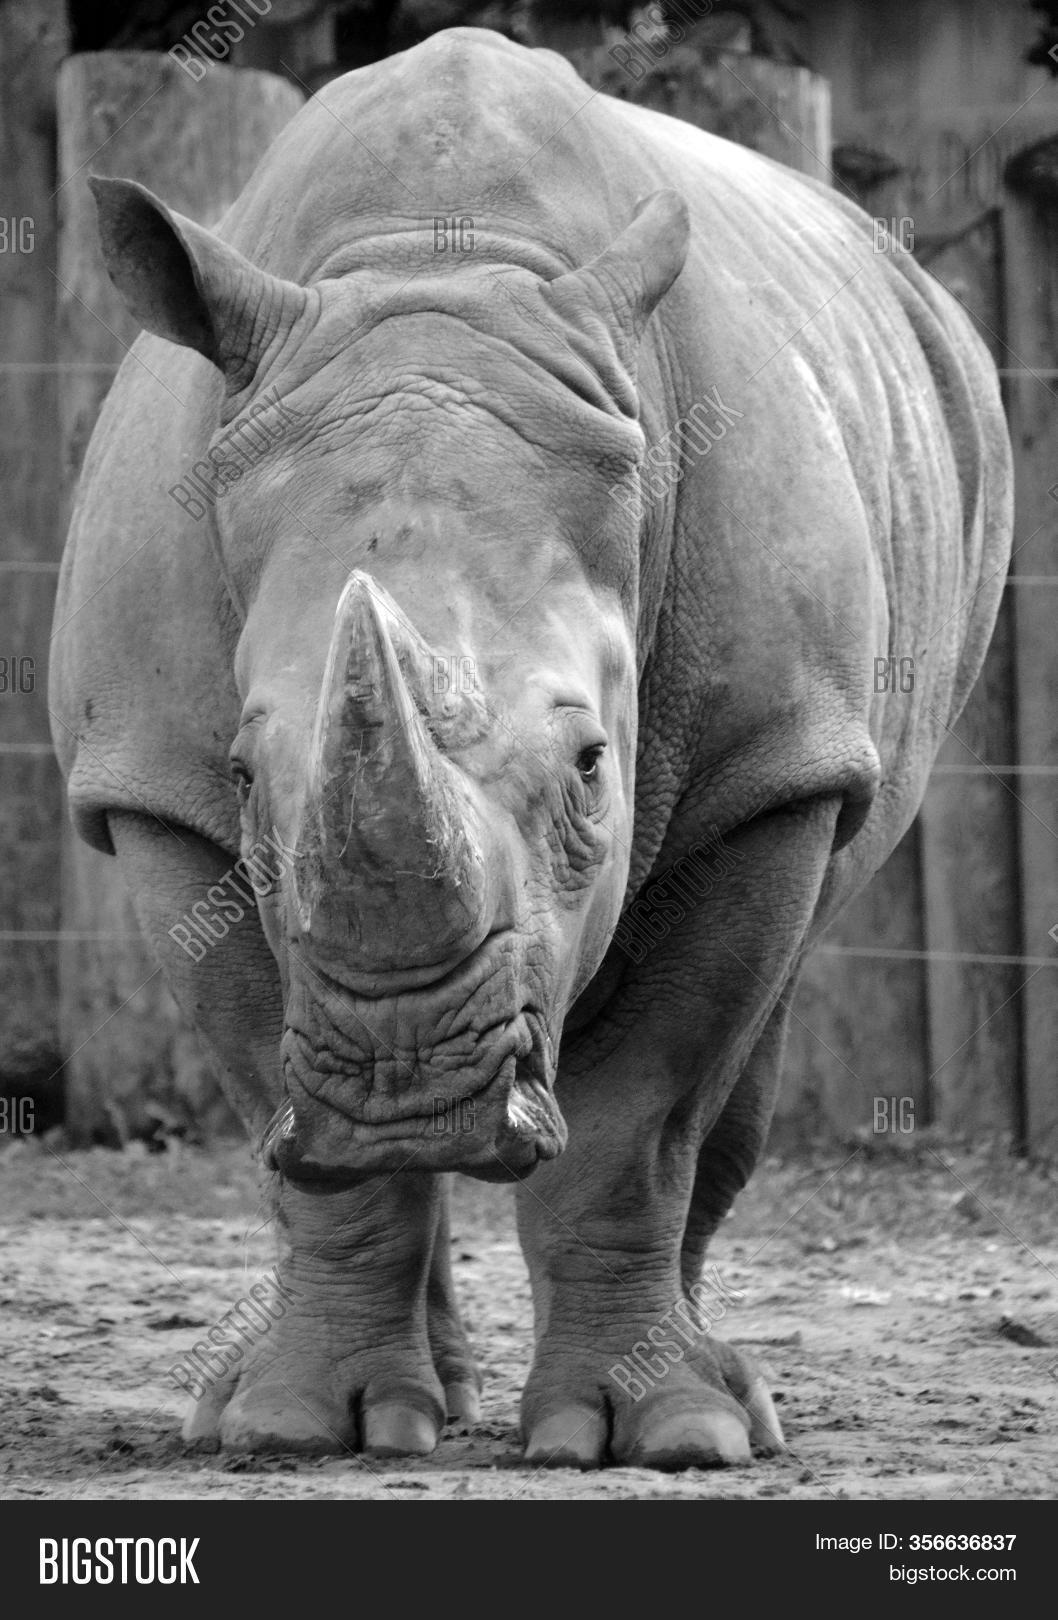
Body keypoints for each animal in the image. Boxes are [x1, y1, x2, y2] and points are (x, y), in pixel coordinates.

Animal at [50, 28, 1012, 1470]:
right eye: (242, 774)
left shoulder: (765, 762)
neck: (437, 267)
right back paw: (411, 1406)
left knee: (746, 1050)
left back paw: (724, 1402)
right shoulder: (151, 779)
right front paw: (291, 1428)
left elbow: (640, 1118)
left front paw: (658, 1437)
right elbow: (272, 1078)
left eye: (592, 768)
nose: (407, 1087)